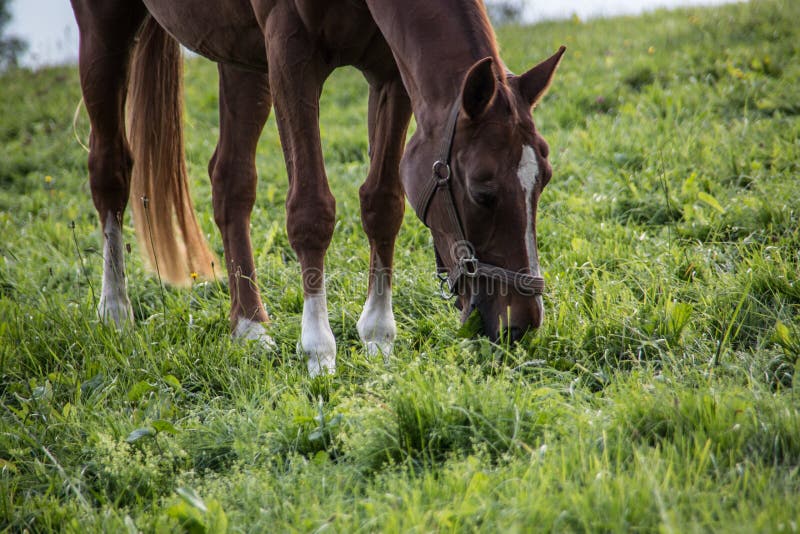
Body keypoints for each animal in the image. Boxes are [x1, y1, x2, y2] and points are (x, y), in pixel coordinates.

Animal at [69, 0, 564, 376]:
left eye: (542, 182)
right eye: (483, 190)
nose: (522, 322)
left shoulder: (389, 69)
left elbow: (383, 204)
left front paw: (378, 336)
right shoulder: (291, 51)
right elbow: (311, 210)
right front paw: (319, 352)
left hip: (241, 57)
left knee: (231, 182)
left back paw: (250, 328)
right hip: (106, 26)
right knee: (109, 170)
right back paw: (115, 312)